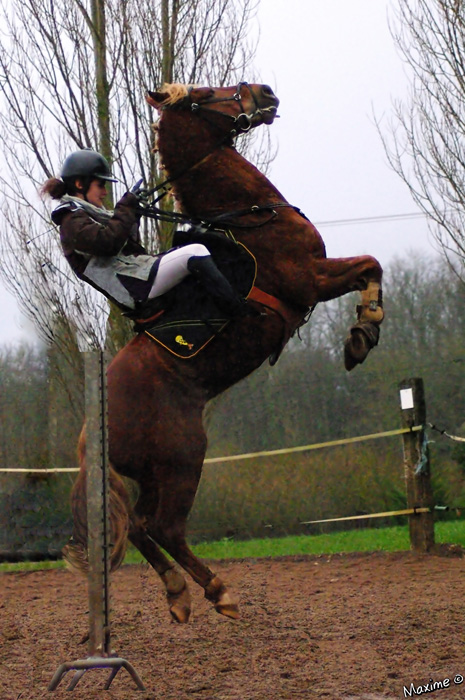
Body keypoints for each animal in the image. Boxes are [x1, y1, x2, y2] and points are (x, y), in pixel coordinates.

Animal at [63, 81, 384, 623]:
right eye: (208, 94)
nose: (263, 92)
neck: (251, 215)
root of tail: (90, 437)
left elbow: (370, 268)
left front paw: (362, 331)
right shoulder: (311, 279)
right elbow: (370, 265)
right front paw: (364, 331)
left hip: (156, 472)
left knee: (143, 526)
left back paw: (180, 593)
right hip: (184, 456)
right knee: (164, 526)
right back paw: (219, 591)